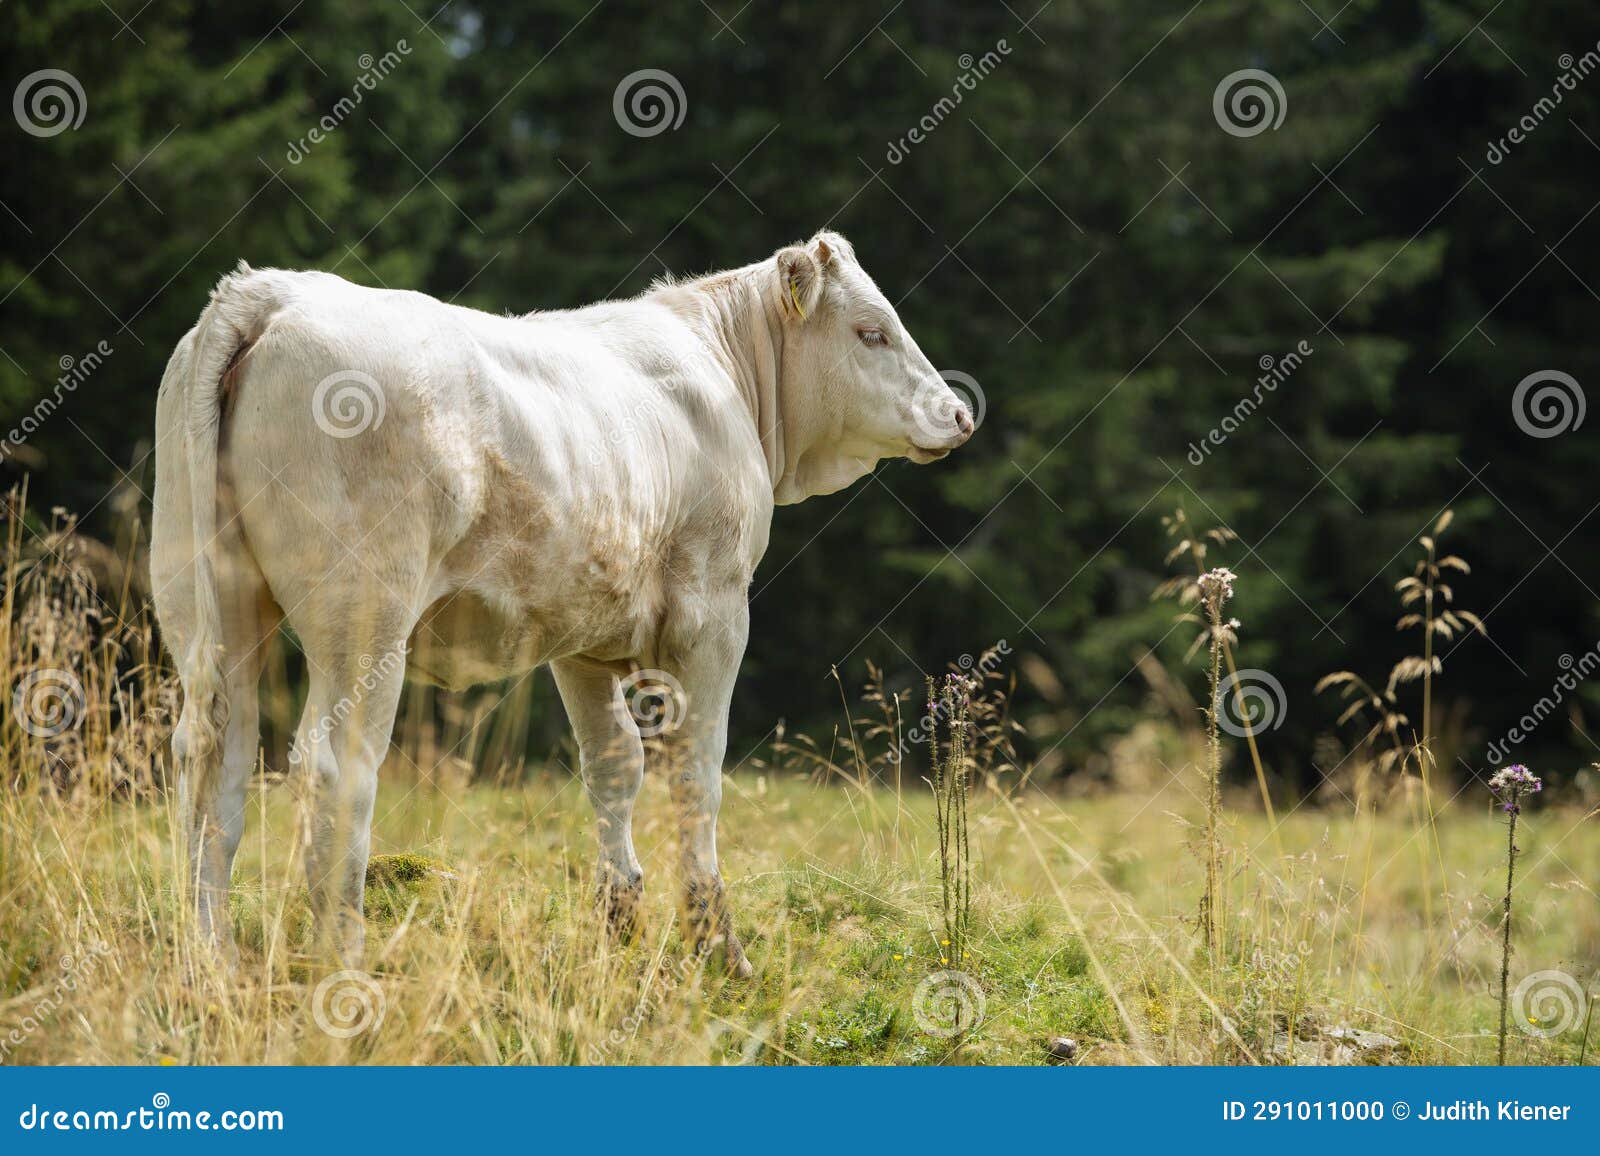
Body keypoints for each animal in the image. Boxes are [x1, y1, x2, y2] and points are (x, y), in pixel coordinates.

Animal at [151, 230, 974, 976]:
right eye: (872, 331)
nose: (959, 414)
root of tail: (271, 289)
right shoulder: (714, 614)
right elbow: (696, 774)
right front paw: (719, 951)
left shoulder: (585, 636)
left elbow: (614, 766)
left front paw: (619, 926)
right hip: (363, 616)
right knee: (334, 767)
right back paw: (342, 960)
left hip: (211, 605)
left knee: (212, 759)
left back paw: (210, 959)